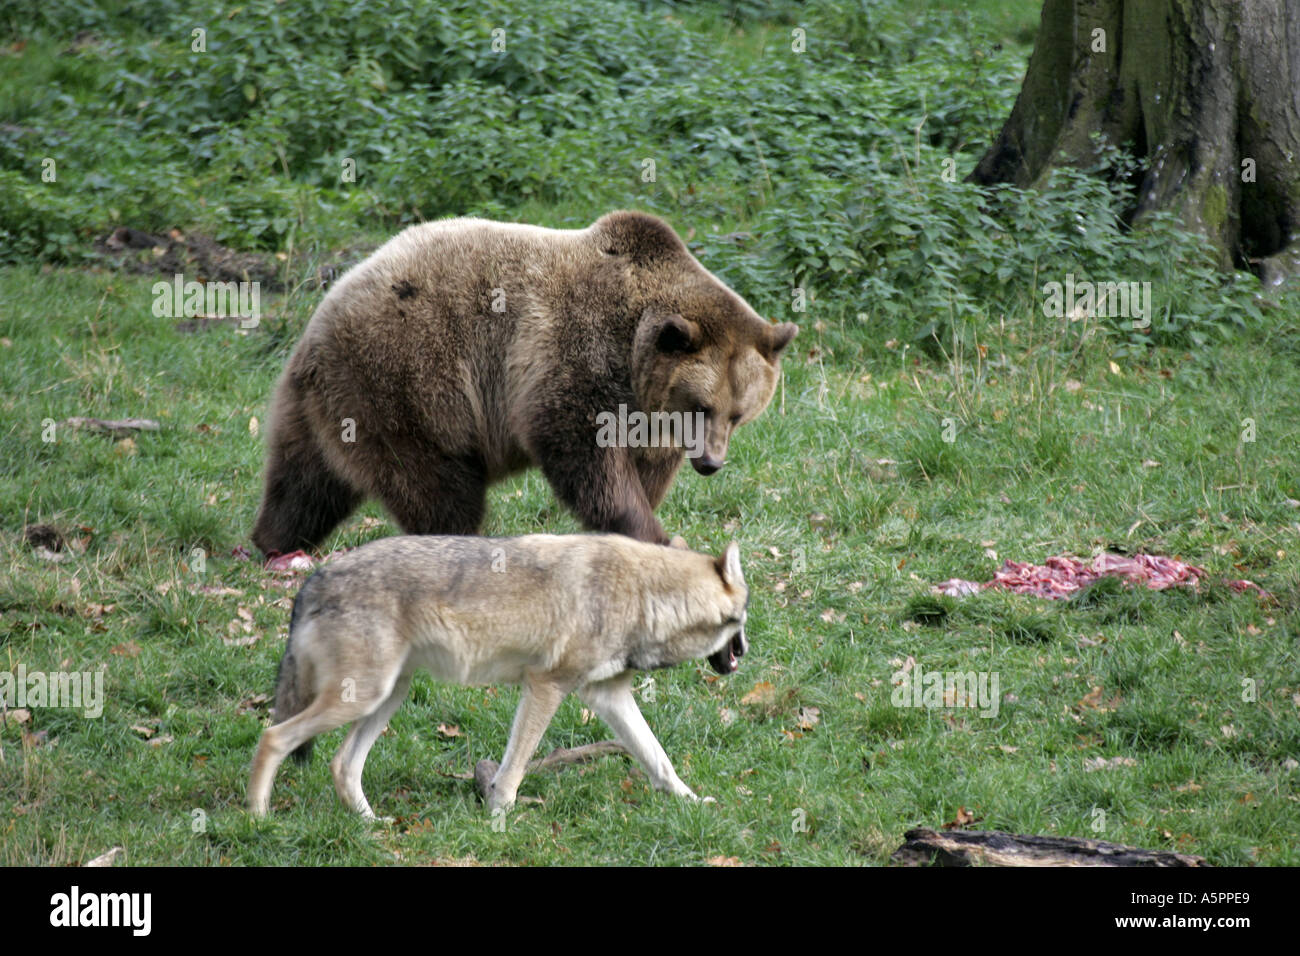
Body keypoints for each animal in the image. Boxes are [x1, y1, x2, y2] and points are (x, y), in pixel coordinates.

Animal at [247, 533, 749, 818]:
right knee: (273, 737)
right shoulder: (546, 686)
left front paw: (691, 803)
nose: (746, 652)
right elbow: (514, 769)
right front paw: (499, 820)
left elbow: (659, 760)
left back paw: (370, 828)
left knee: (343, 765)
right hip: (362, 698)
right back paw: (258, 819)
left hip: (387, 697)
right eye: (744, 619)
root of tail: (314, 578)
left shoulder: (607, 696)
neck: (646, 595)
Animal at [251, 210, 797, 555]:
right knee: (437, 486)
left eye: (739, 413)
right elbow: (585, 455)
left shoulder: (650, 417)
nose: (710, 463)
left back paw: (273, 540)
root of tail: (320, 317)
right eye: (702, 405)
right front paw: (653, 533)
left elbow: (646, 470)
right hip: (406, 380)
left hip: (322, 404)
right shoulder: (575, 359)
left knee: (303, 480)